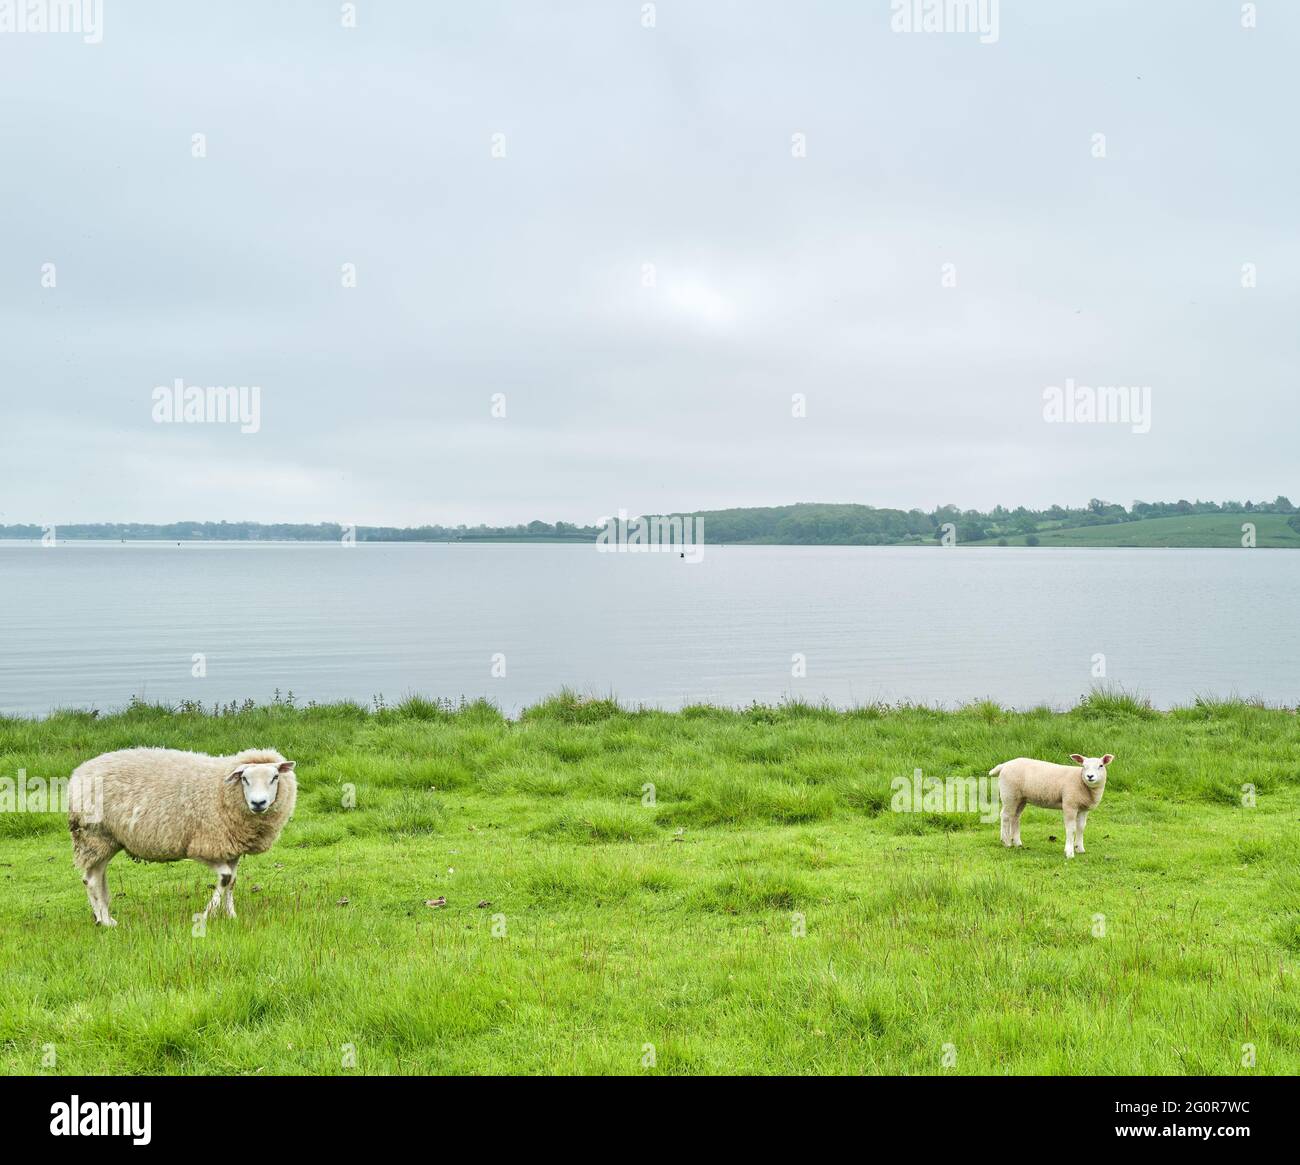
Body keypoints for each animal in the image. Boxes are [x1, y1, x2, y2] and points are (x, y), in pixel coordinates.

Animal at [67, 747, 297, 926]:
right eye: (245, 779)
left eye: (275, 777)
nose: (259, 803)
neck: (222, 791)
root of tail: (79, 772)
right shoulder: (203, 848)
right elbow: (225, 877)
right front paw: (207, 915)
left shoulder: (232, 849)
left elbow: (232, 881)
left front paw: (231, 915)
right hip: (94, 834)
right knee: (92, 879)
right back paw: (105, 921)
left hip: (108, 839)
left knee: (96, 876)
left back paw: (103, 917)